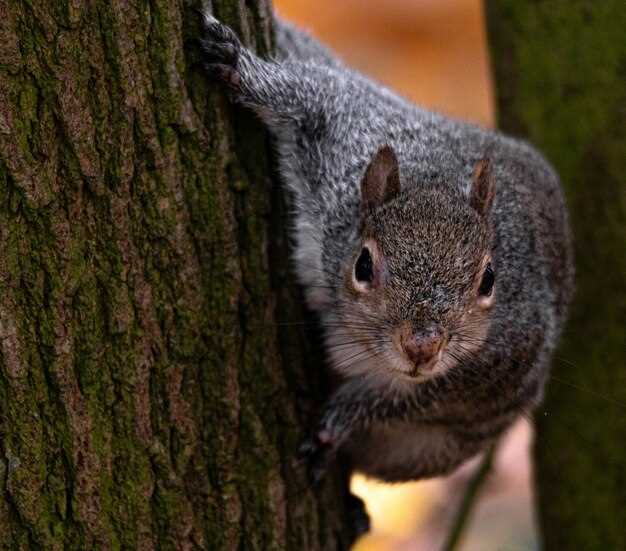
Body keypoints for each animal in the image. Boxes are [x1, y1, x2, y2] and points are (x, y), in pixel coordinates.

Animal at [197, 12, 572, 490]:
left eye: (489, 280)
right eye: (363, 266)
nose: (422, 346)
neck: (433, 181)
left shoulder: (496, 366)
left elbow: (397, 401)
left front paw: (337, 422)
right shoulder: (346, 134)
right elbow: (306, 95)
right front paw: (237, 67)